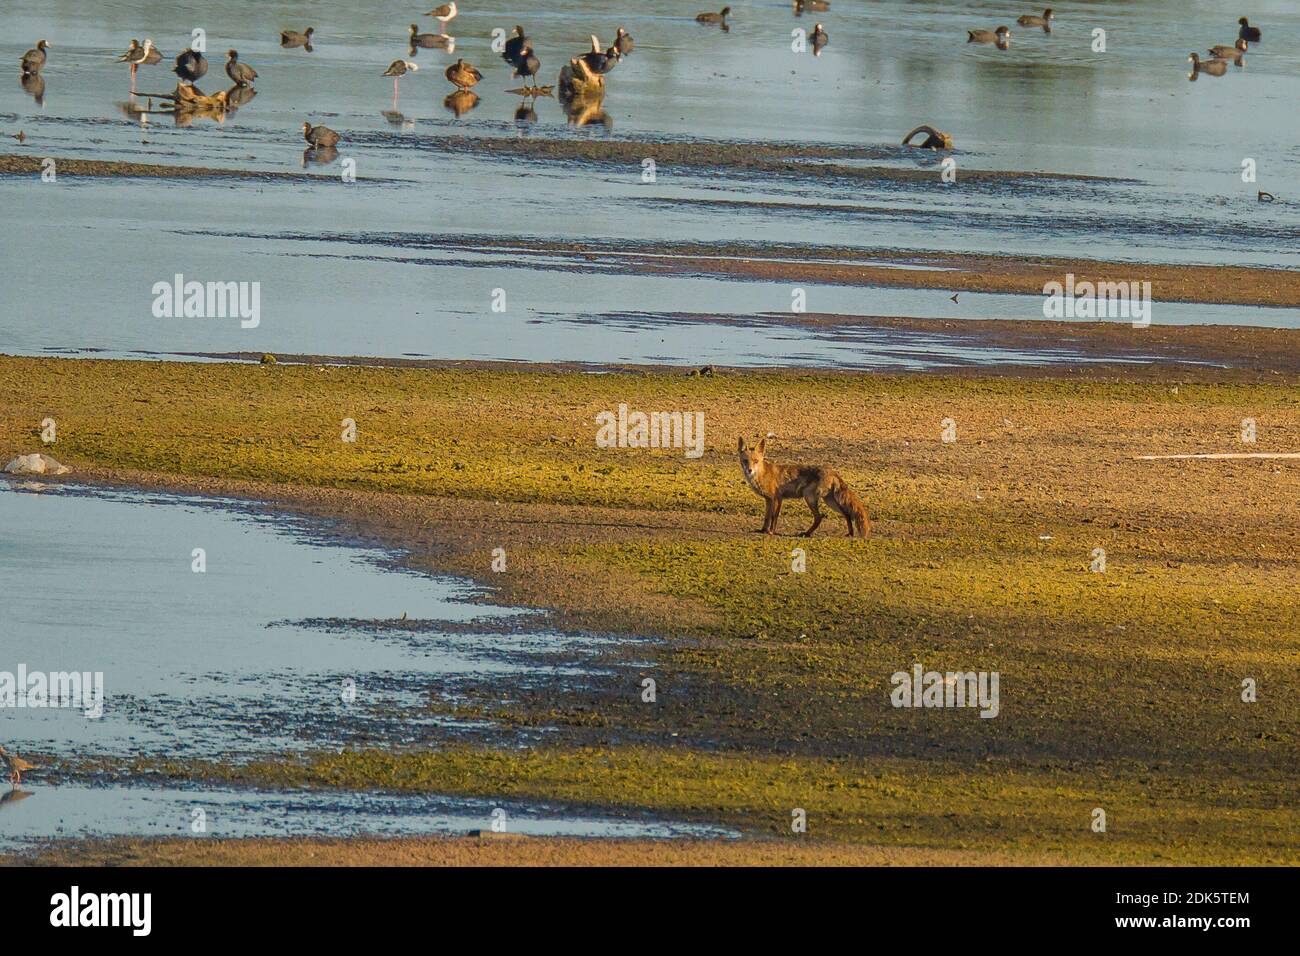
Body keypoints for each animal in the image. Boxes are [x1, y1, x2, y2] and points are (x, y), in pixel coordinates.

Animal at [738, 436, 869, 538]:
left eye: (755, 461)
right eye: (745, 461)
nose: (749, 470)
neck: (763, 474)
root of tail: (832, 471)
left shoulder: (777, 498)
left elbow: (774, 517)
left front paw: (771, 532)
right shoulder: (768, 500)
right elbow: (767, 517)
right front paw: (763, 530)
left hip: (809, 497)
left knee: (819, 518)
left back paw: (807, 533)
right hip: (830, 501)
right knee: (847, 514)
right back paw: (850, 533)